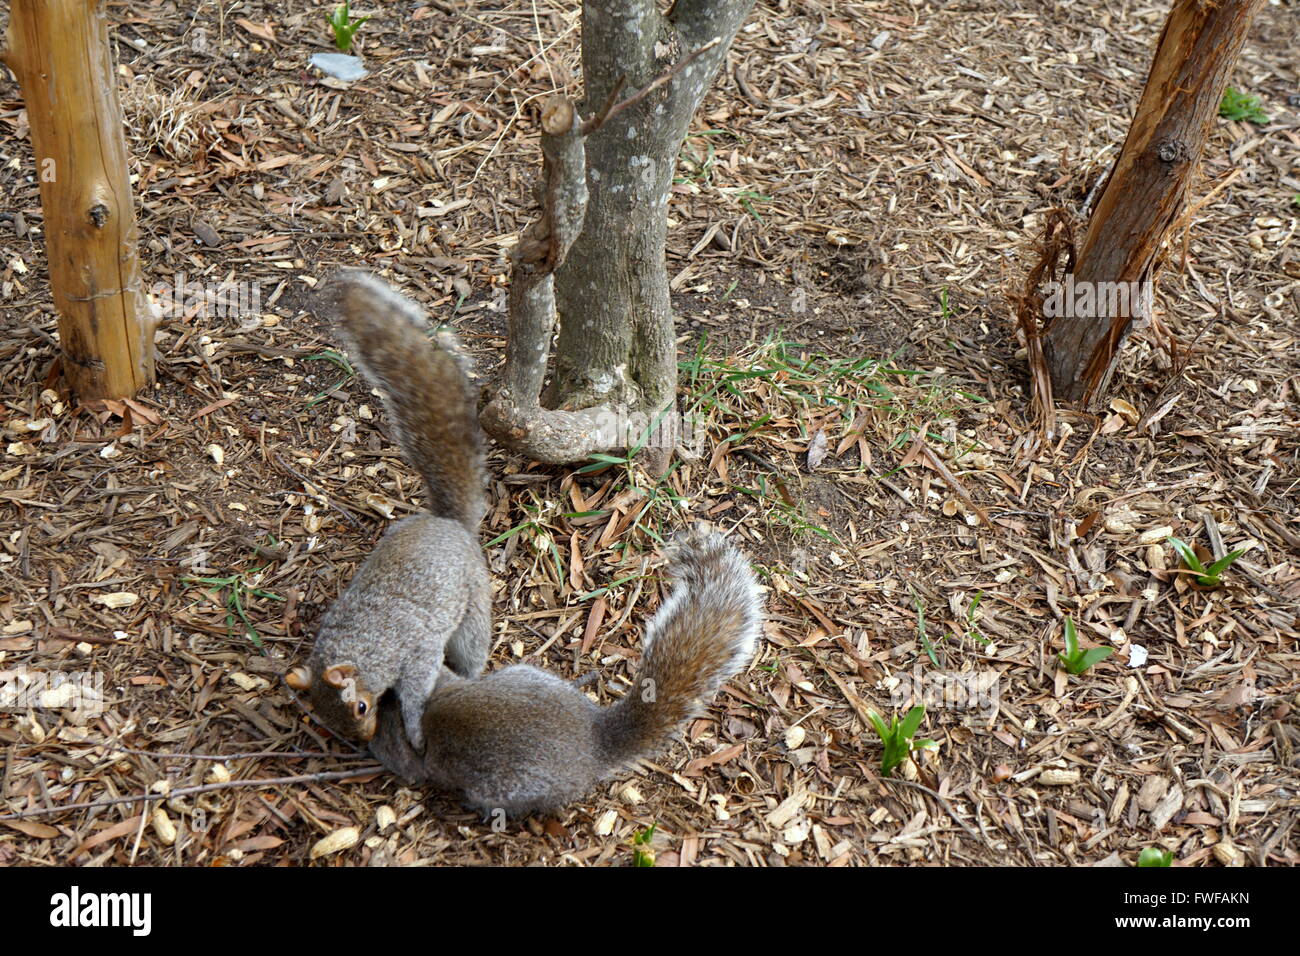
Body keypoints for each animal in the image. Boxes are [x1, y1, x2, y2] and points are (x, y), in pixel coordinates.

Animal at [286, 269, 491, 750]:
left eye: (360, 706)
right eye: (326, 719)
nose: (365, 737)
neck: (363, 641)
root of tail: (449, 524)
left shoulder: (416, 652)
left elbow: (417, 688)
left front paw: (414, 731)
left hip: (473, 601)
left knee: (473, 642)